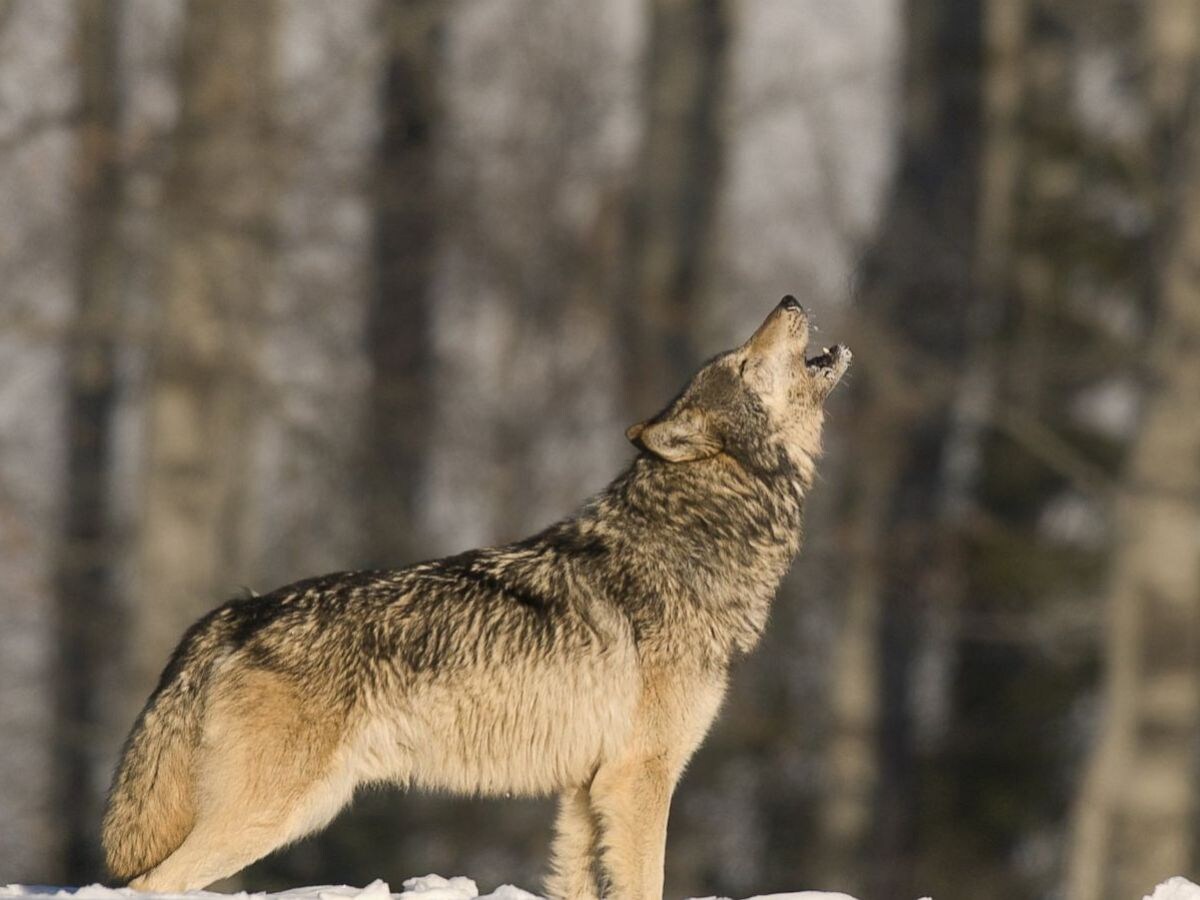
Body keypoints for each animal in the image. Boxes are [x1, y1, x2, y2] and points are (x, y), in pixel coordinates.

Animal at [102, 297, 850, 899]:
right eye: (744, 361)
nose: (789, 298)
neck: (694, 535)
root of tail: (241, 610)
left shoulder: (585, 789)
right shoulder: (639, 778)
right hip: (274, 812)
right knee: (149, 884)